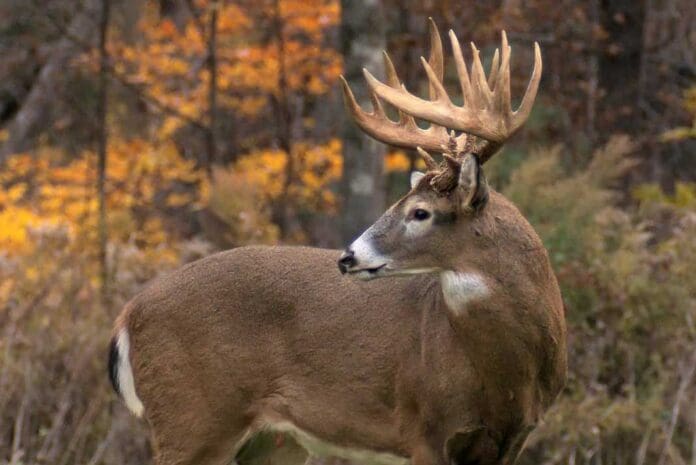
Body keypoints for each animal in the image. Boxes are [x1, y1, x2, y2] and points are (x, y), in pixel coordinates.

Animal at [108, 19, 567, 465]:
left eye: (420, 212)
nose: (349, 256)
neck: (509, 376)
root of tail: (127, 317)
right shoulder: (425, 430)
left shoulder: (515, 437)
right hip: (193, 419)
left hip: (272, 441)